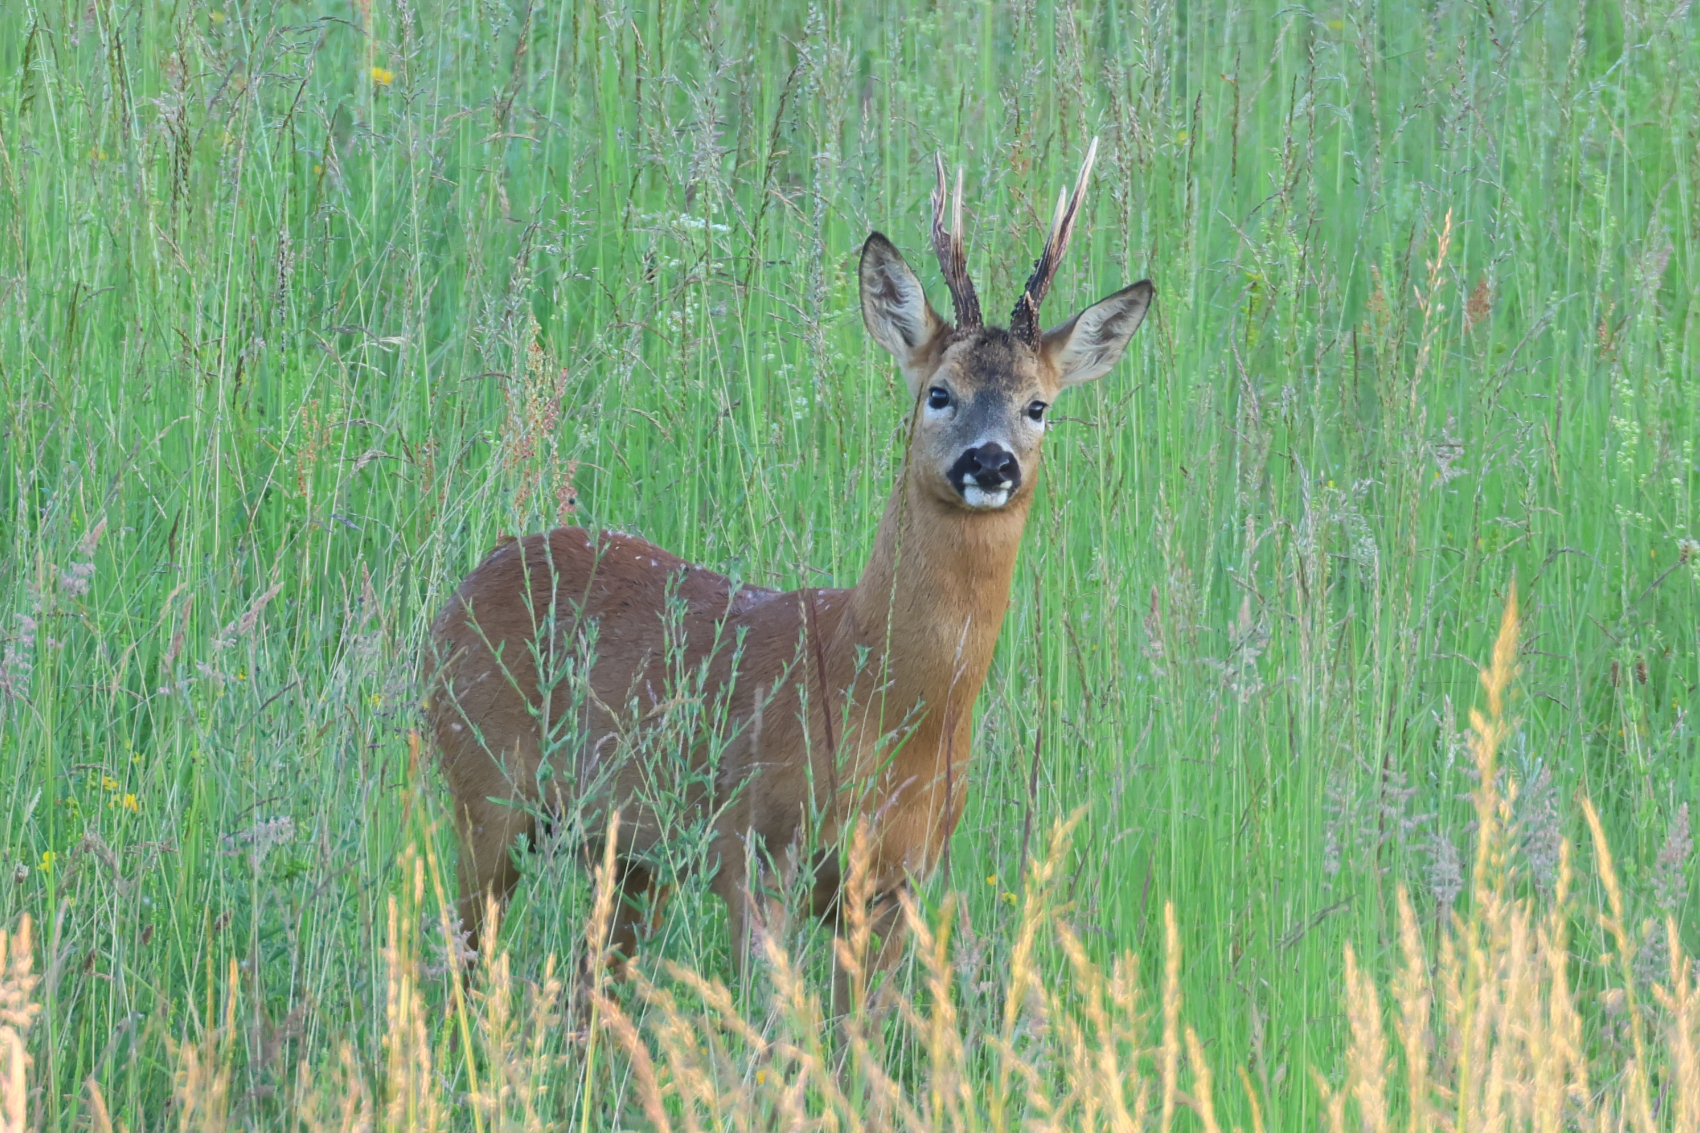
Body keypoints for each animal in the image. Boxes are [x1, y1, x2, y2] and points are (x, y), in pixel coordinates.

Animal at [424, 139, 1153, 1011]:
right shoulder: (755, 846)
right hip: (485, 788)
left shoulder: (894, 884)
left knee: (585, 984)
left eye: (1038, 406)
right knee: (468, 955)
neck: (881, 700)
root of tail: (469, 583)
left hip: (626, 855)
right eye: (938, 392)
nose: (990, 462)